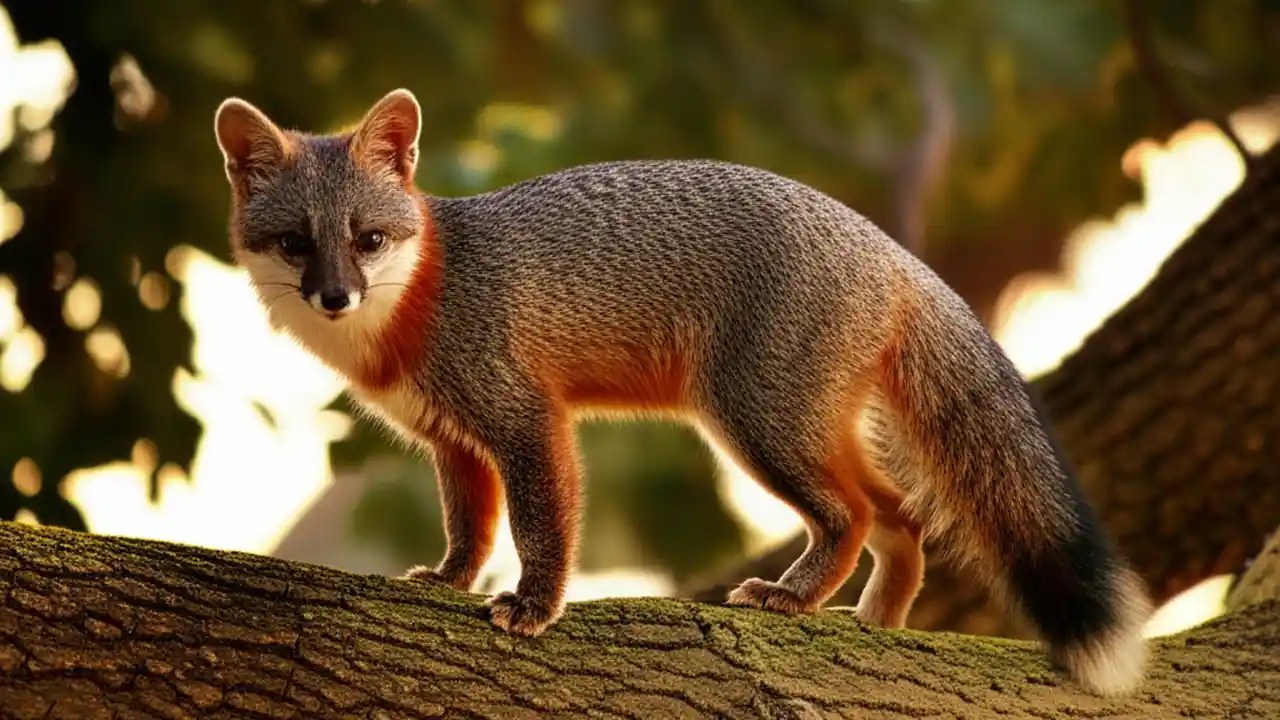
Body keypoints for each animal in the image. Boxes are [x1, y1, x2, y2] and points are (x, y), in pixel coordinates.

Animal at [214, 89, 1152, 695]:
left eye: (367, 240)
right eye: (297, 244)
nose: (335, 297)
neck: (421, 295)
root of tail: (883, 243)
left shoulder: (526, 418)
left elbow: (540, 524)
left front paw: (533, 607)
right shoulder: (454, 440)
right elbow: (468, 530)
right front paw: (450, 581)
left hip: (756, 427)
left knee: (854, 515)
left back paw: (797, 597)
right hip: (804, 430)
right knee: (903, 518)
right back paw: (873, 623)